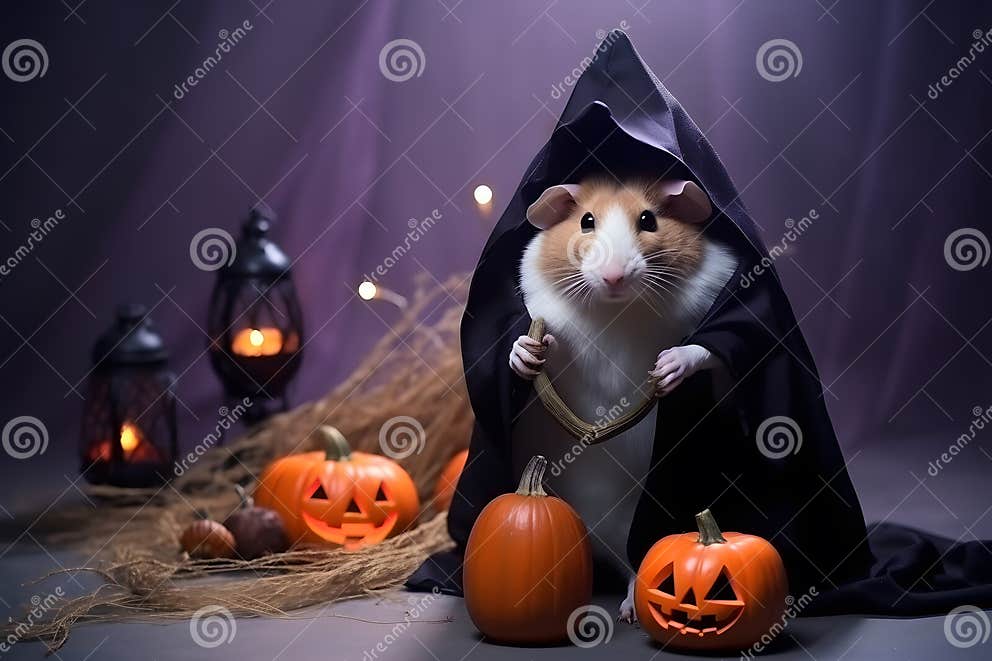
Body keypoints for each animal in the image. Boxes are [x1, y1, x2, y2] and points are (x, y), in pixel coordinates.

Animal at [508, 177, 738, 622]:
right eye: (586, 221)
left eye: (648, 220)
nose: (614, 277)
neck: (619, 309)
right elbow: (548, 350)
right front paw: (523, 352)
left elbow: (711, 350)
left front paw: (673, 365)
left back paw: (633, 603)